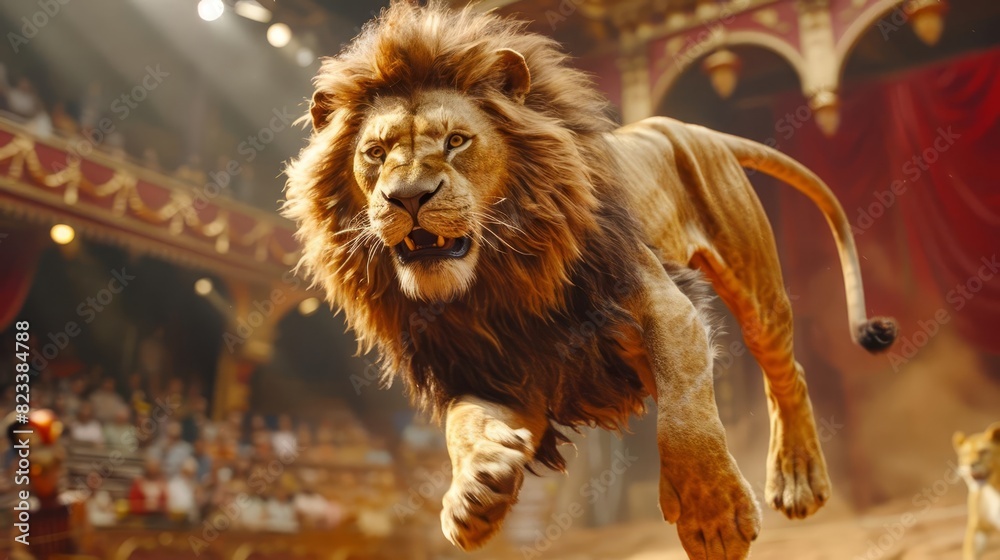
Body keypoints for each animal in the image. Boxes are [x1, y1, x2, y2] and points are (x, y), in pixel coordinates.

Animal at [282, 3, 897, 558]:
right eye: (375, 152)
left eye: (456, 140)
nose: (407, 197)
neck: (495, 281)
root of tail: (682, 125)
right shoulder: (496, 372)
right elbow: (463, 423)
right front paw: (476, 489)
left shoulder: (660, 302)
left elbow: (686, 419)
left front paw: (713, 514)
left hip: (754, 287)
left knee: (785, 371)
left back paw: (797, 479)